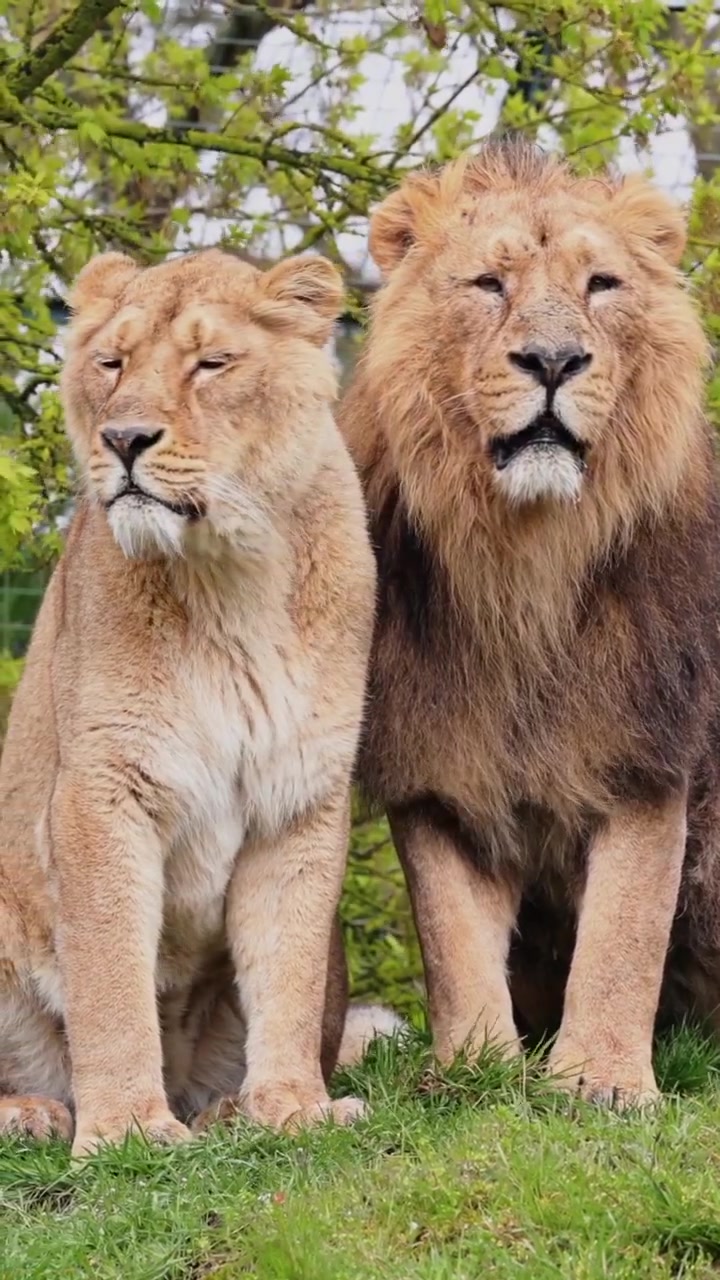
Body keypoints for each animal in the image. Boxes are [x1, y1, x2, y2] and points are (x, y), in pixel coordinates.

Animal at [0, 247, 398, 1157]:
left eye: (211, 363)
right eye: (112, 364)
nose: (124, 439)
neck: (230, 576)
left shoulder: (300, 796)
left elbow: (286, 974)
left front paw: (293, 1108)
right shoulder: (100, 791)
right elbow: (109, 975)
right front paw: (126, 1129)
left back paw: (224, 1113)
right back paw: (35, 1113)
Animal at [339, 138, 720, 1107]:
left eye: (601, 284)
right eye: (487, 283)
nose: (552, 361)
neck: (526, 568)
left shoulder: (644, 749)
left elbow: (626, 933)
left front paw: (605, 1083)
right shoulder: (438, 766)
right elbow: (451, 941)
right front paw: (471, 1071)